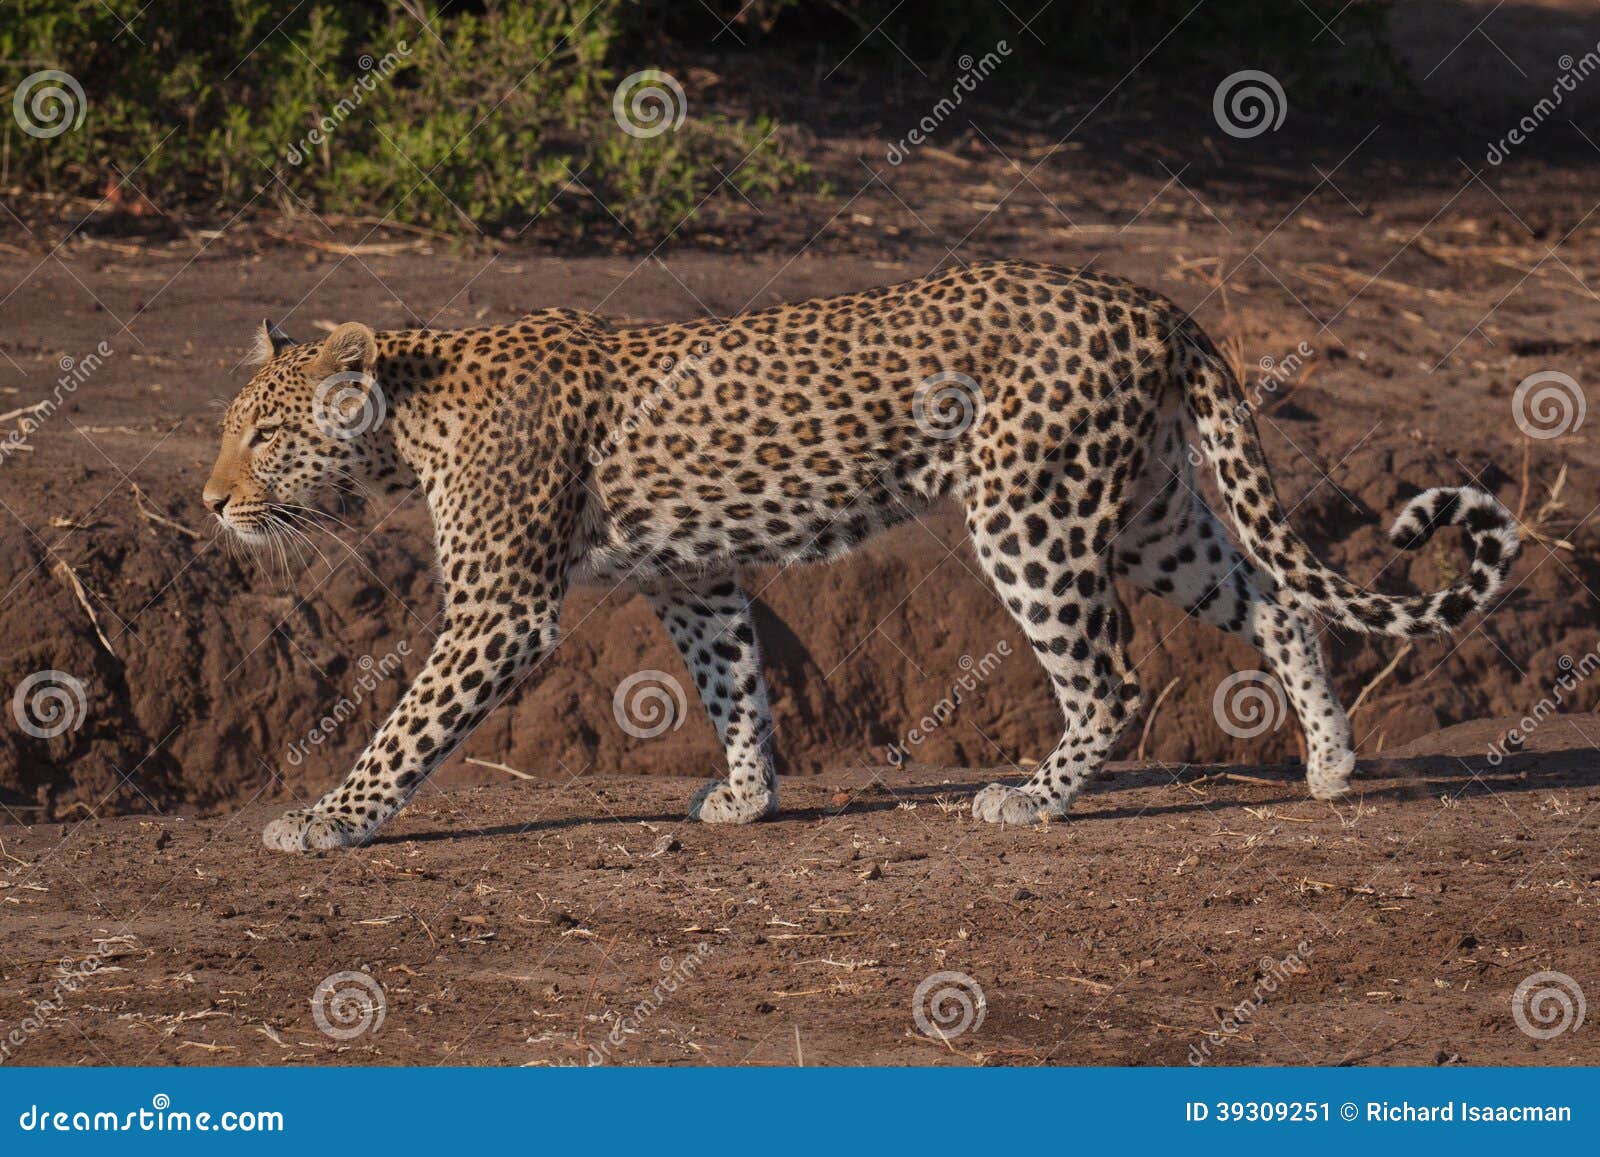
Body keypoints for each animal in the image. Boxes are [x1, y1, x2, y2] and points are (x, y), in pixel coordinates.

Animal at [200, 260, 1521, 853]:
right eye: (226, 425)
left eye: (263, 434)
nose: (211, 502)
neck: (413, 418)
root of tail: (1145, 297)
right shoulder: (695, 576)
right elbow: (734, 681)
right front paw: (745, 793)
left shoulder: (500, 611)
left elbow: (407, 724)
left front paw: (328, 817)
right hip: (1149, 509)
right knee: (1277, 603)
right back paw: (1330, 766)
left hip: (1028, 513)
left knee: (1110, 676)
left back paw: (1031, 799)